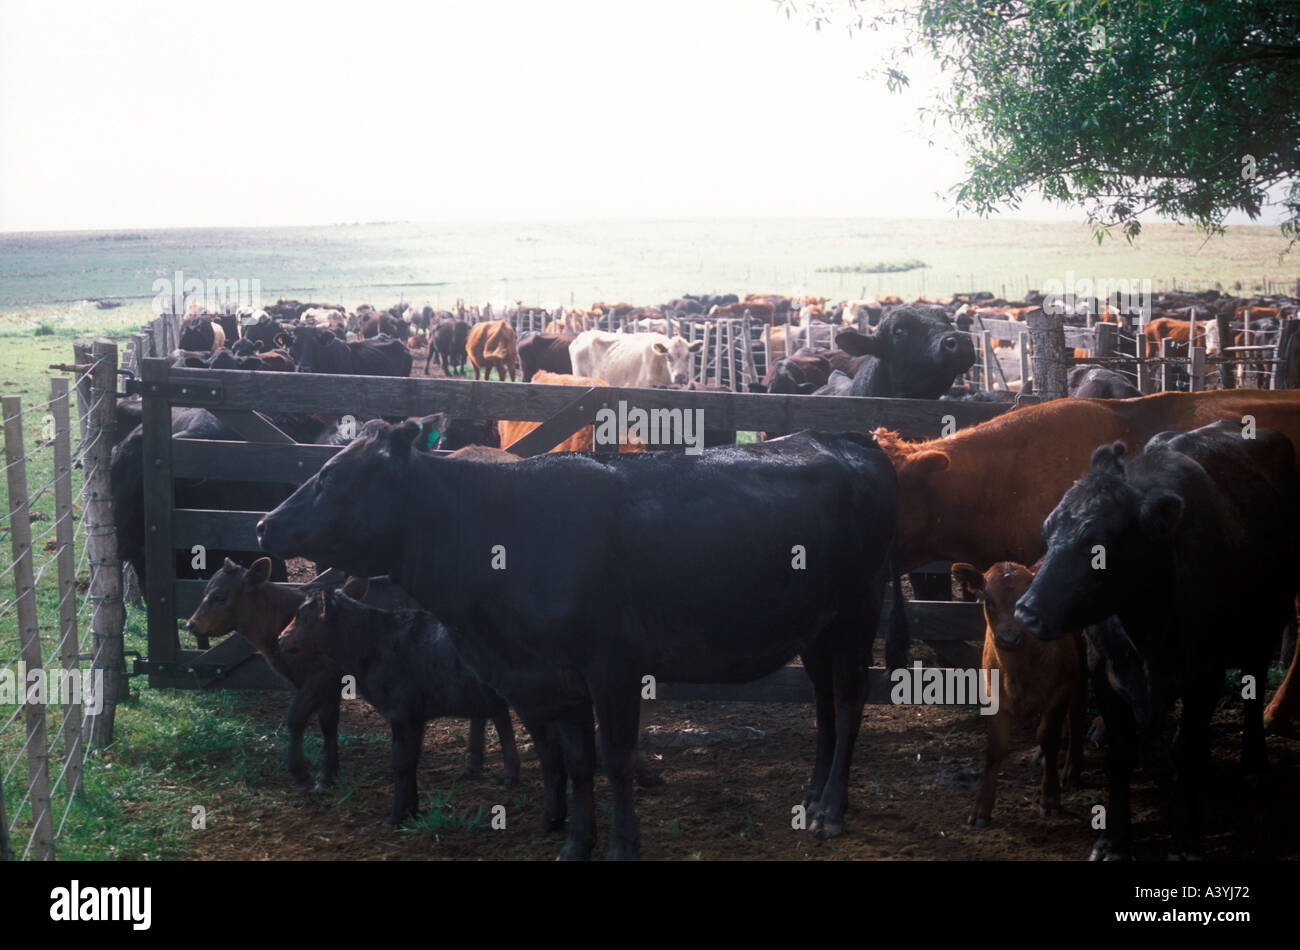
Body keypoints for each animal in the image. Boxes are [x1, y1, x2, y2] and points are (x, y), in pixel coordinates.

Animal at [279, 576, 521, 824]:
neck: (374, 644)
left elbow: (400, 761)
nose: (280, 638)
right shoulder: (414, 717)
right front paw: (412, 811)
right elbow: (411, 758)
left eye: (302, 615)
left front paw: (395, 817)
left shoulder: (400, 712)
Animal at [951, 561, 1085, 828]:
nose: (1009, 638)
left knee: (1076, 713)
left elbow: (1048, 737)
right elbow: (995, 748)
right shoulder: (992, 698)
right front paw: (981, 809)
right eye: (988, 601)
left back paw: (1071, 769)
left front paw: (1050, 798)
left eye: (1026, 602)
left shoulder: (1059, 692)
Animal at [1015, 421, 1299, 859]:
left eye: (1097, 545)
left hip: (1267, 623)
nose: (1027, 612)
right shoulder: (1104, 670)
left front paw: (1184, 838)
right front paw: (1113, 837)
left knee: (1253, 695)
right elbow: (1121, 753)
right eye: (1048, 530)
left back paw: (1254, 765)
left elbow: (1184, 747)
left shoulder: (1206, 673)